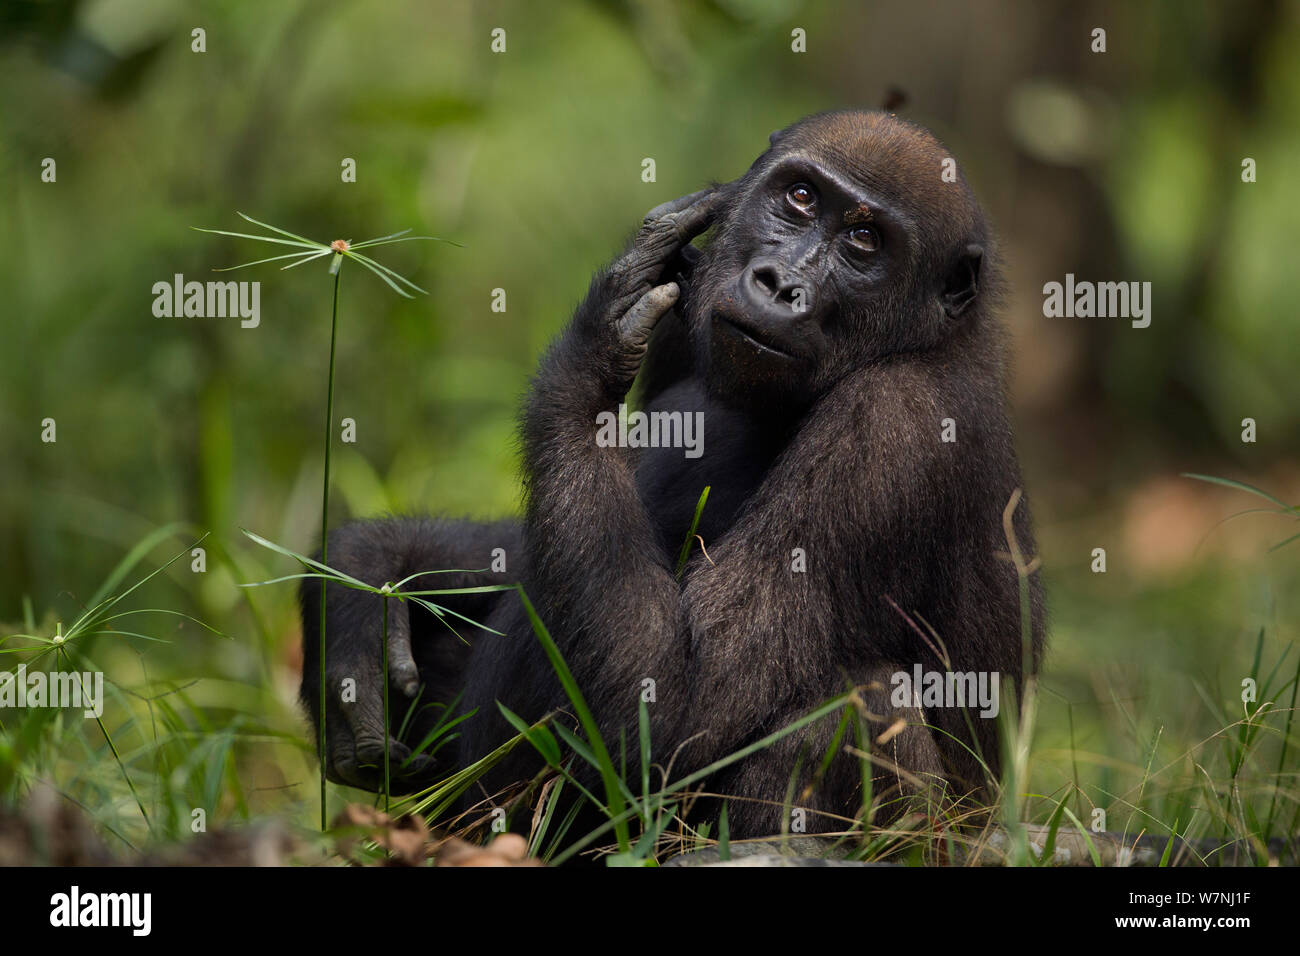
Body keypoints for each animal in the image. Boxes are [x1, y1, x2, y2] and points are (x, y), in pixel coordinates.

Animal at [300, 109, 1045, 839]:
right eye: (801, 198)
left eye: (865, 240)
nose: (781, 284)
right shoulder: (684, 330)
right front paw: (369, 571)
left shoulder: (895, 426)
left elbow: (678, 717)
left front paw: (591, 349)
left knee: (857, 702)